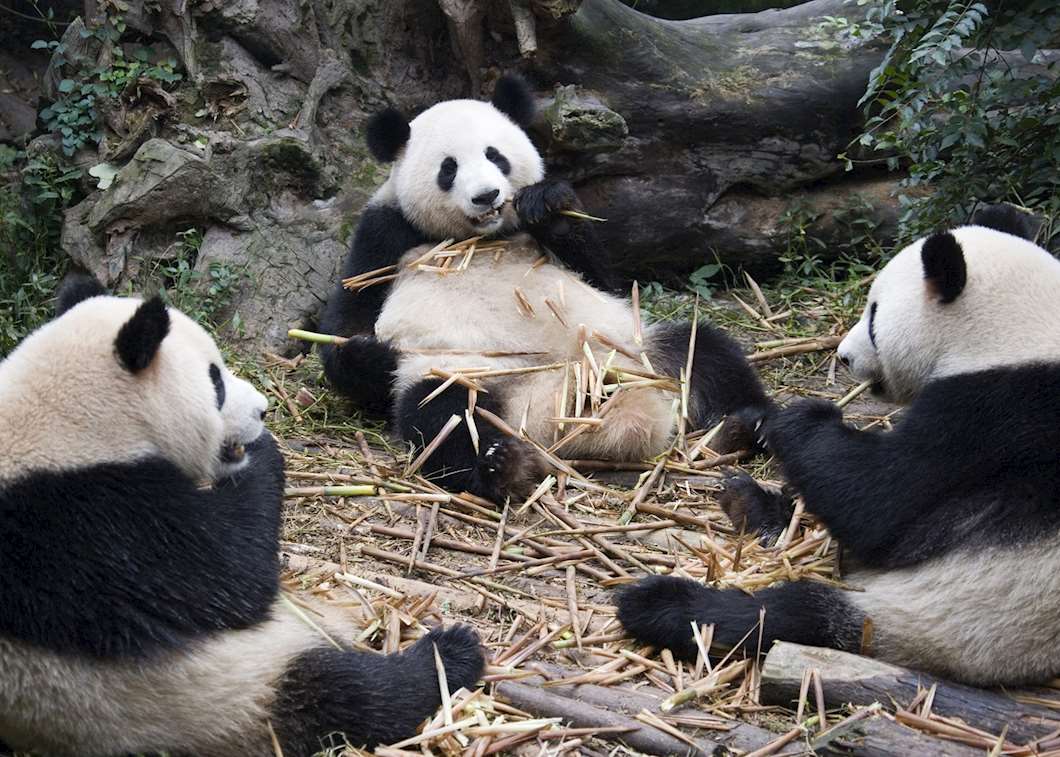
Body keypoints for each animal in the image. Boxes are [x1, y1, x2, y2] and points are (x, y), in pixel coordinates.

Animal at [0, 274, 484, 756]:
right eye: (215, 381)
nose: (263, 410)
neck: (65, 422)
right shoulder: (90, 526)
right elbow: (230, 576)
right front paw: (263, 454)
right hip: (222, 695)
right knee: (347, 694)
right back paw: (449, 654)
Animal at [318, 74, 767, 500]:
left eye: (495, 155)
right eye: (448, 168)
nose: (487, 196)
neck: (482, 238)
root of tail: (560, 408)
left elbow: (603, 277)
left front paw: (548, 205)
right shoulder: (385, 234)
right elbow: (348, 319)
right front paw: (369, 352)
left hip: (635, 349)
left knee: (704, 351)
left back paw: (746, 425)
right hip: (467, 376)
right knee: (444, 416)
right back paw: (502, 466)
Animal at [617, 206, 1060, 686]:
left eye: (873, 316)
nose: (844, 357)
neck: (1016, 330)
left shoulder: (989, 411)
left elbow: (875, 501)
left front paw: (802, 418)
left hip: (953, 611)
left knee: (783, 615)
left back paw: (660, 604)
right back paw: (751, 505)